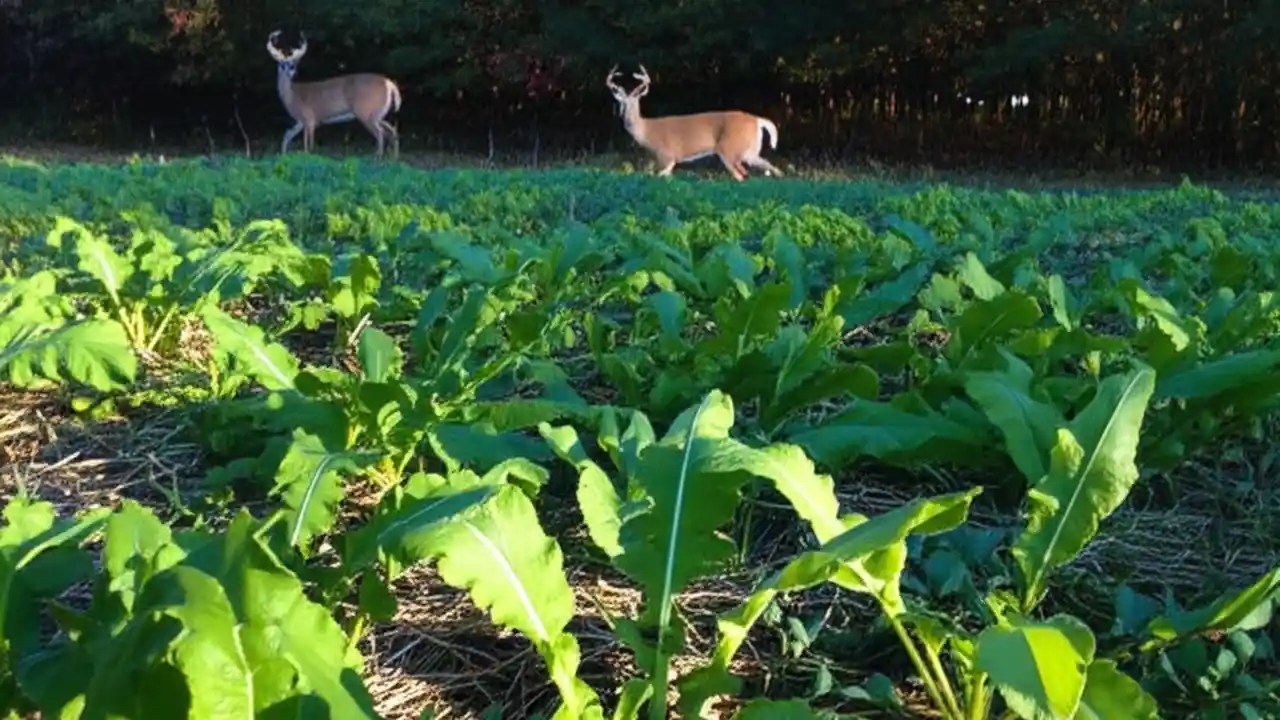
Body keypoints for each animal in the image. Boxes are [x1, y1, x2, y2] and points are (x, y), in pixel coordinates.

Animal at [266, 31, 402, 159]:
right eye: (281, 64)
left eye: (293, 64)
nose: (290, 71)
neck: (292, 96)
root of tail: (390, 84)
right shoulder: (300, 121)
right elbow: (287, 135)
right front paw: (283, 155)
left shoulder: (309, 117)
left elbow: (308, 143)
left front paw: (309, 155)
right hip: (378, 113)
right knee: (392, 131)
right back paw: (393, 158)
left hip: (366, 112)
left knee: (381, 133)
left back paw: (377, 158)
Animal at [606, 65, 783, 181]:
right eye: (621, 103)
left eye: (635, 103)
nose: (626, 117)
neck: (647, 131)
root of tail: (757, 120)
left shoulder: (667, 156)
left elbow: (658, 175)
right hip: (749, 151)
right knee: (771, 167)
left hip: (729, 148)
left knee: (741, 174)